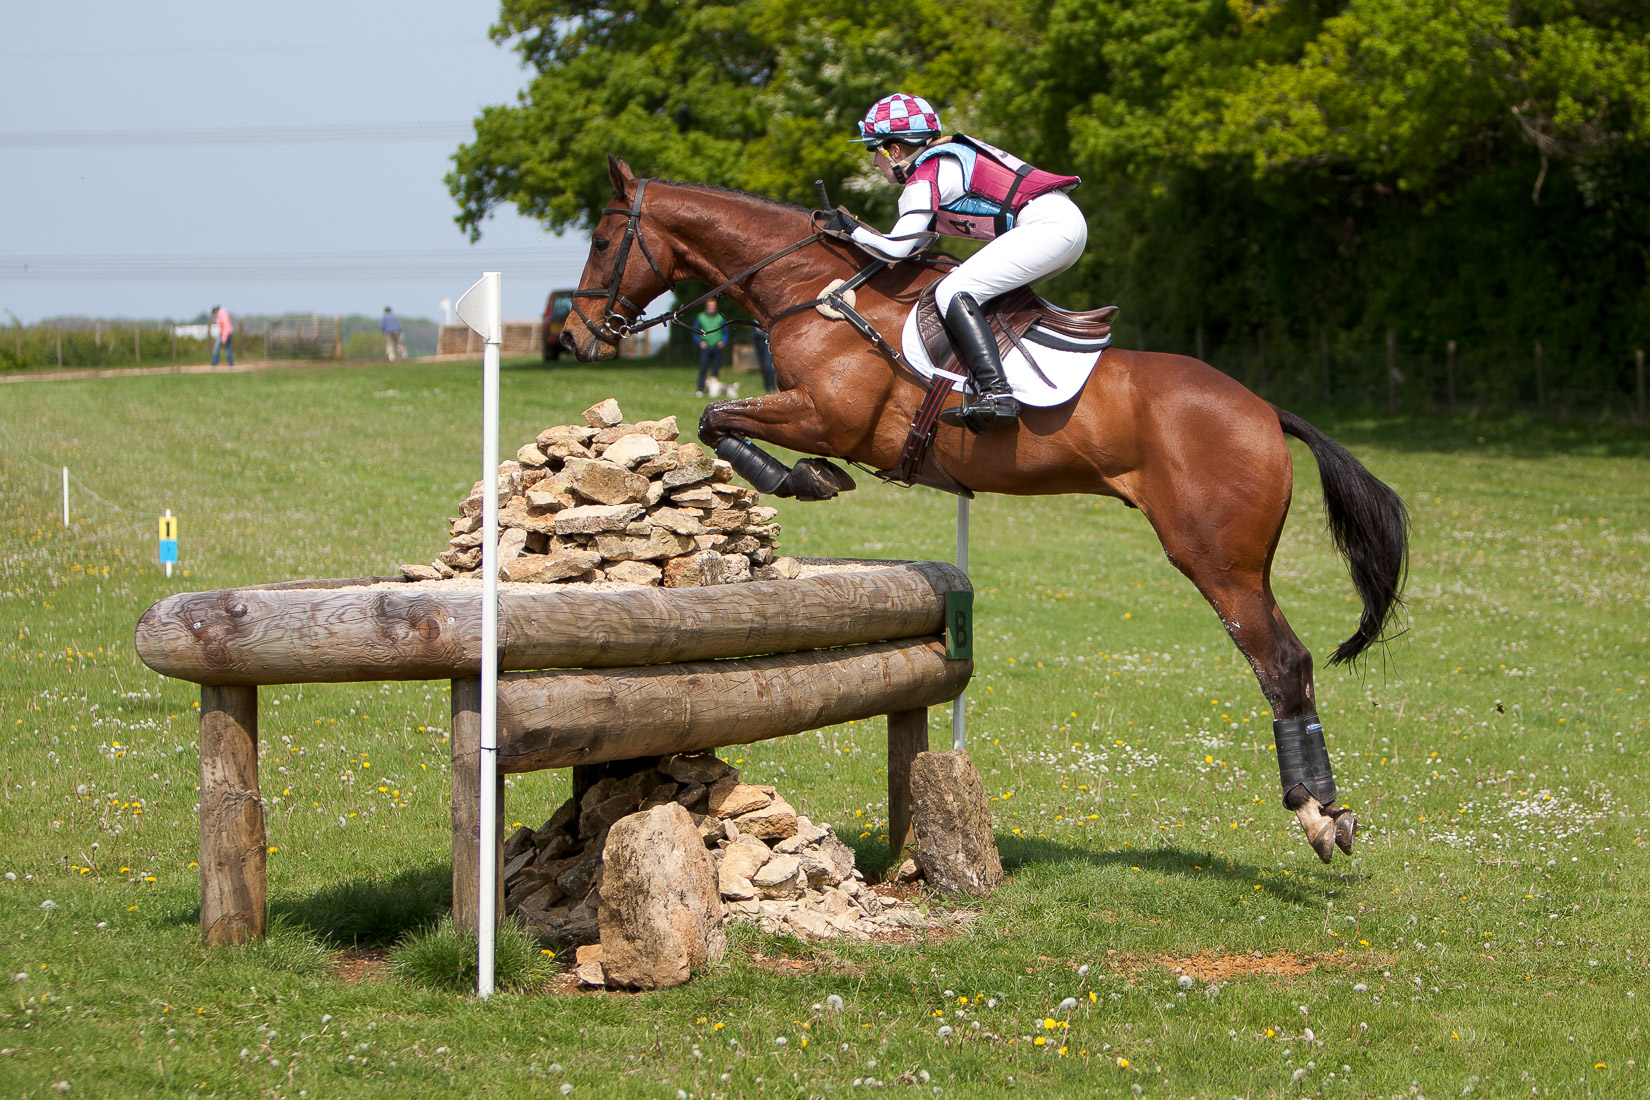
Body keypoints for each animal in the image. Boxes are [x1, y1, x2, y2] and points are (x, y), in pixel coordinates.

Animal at [562, 155, 1409, 864]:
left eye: (602, 239)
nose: (573, 338)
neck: (816, 289)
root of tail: (1266, 411)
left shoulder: (827, 416)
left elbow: (720, 418)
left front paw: (801, 476)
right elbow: (716, 421)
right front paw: (803, 477)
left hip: (1217, 559)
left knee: (1282, 663)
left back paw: (1317, 815)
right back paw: (1329, 812)